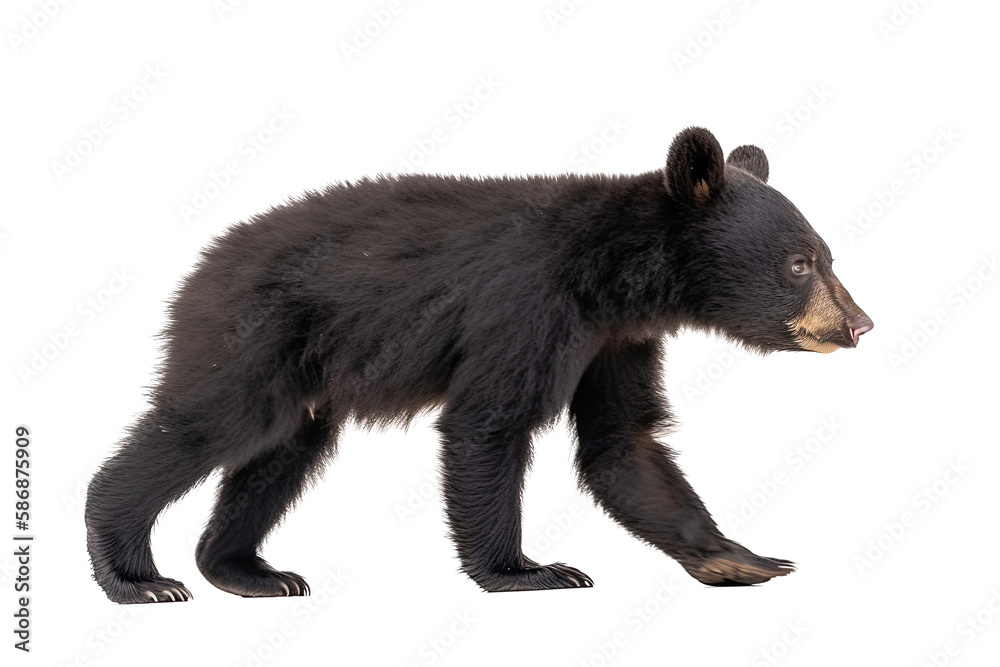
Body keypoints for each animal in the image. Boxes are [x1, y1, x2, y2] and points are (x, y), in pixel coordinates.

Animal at [85, 127, 873, 603]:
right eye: (800, 263)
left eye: (826, 255)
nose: (860, 324)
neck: (611, 274)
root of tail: (202, 264)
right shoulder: (528, 304)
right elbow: (488, 422)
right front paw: (529, 570)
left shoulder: (616, 340)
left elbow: (623, 443)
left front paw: (738, 555)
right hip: (252, 335)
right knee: (208, 424)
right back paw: (136, 574)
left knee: (282, 453)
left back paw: (246, 569)